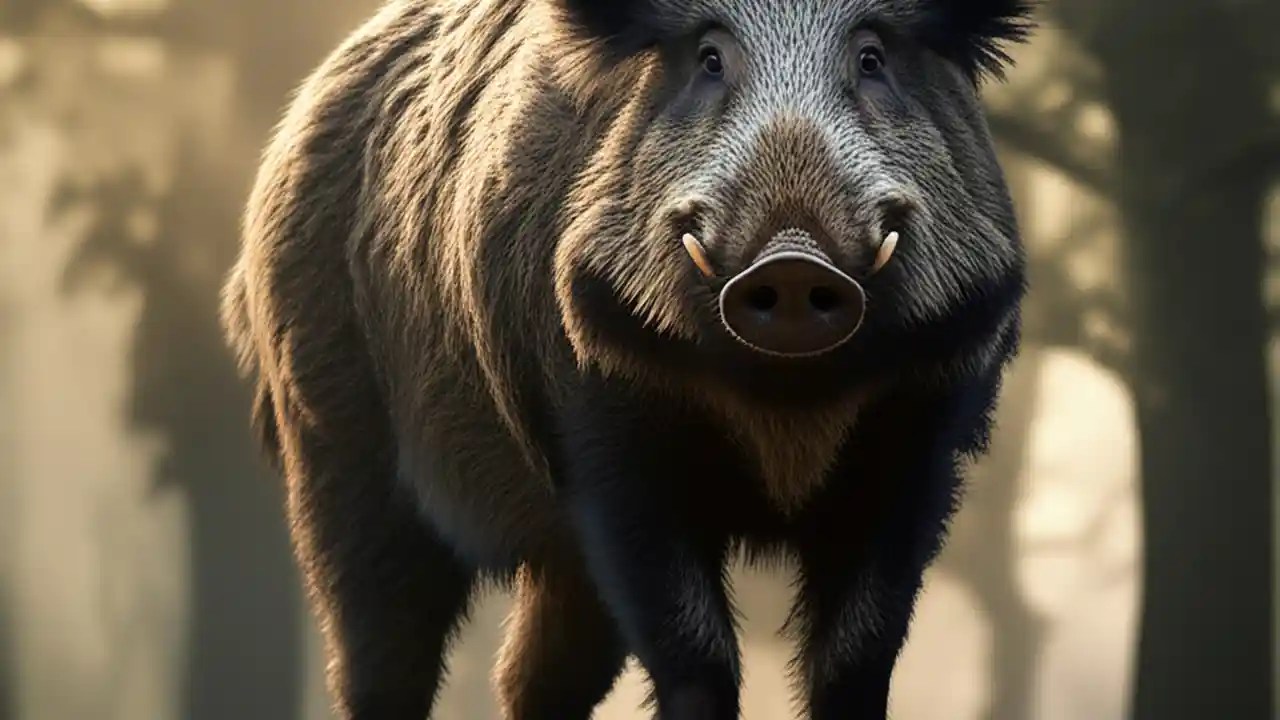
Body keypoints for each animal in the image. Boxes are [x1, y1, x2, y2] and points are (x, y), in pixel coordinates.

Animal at [219, 0, 1035, 718]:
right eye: (708, 58)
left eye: (872, 58)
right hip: (332, 437)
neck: (785, 412)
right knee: (379, 649)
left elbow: (856, 656)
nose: (795, 260)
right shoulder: (601, 434)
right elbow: (694, 649)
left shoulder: (923, 438)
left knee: (534, 675)